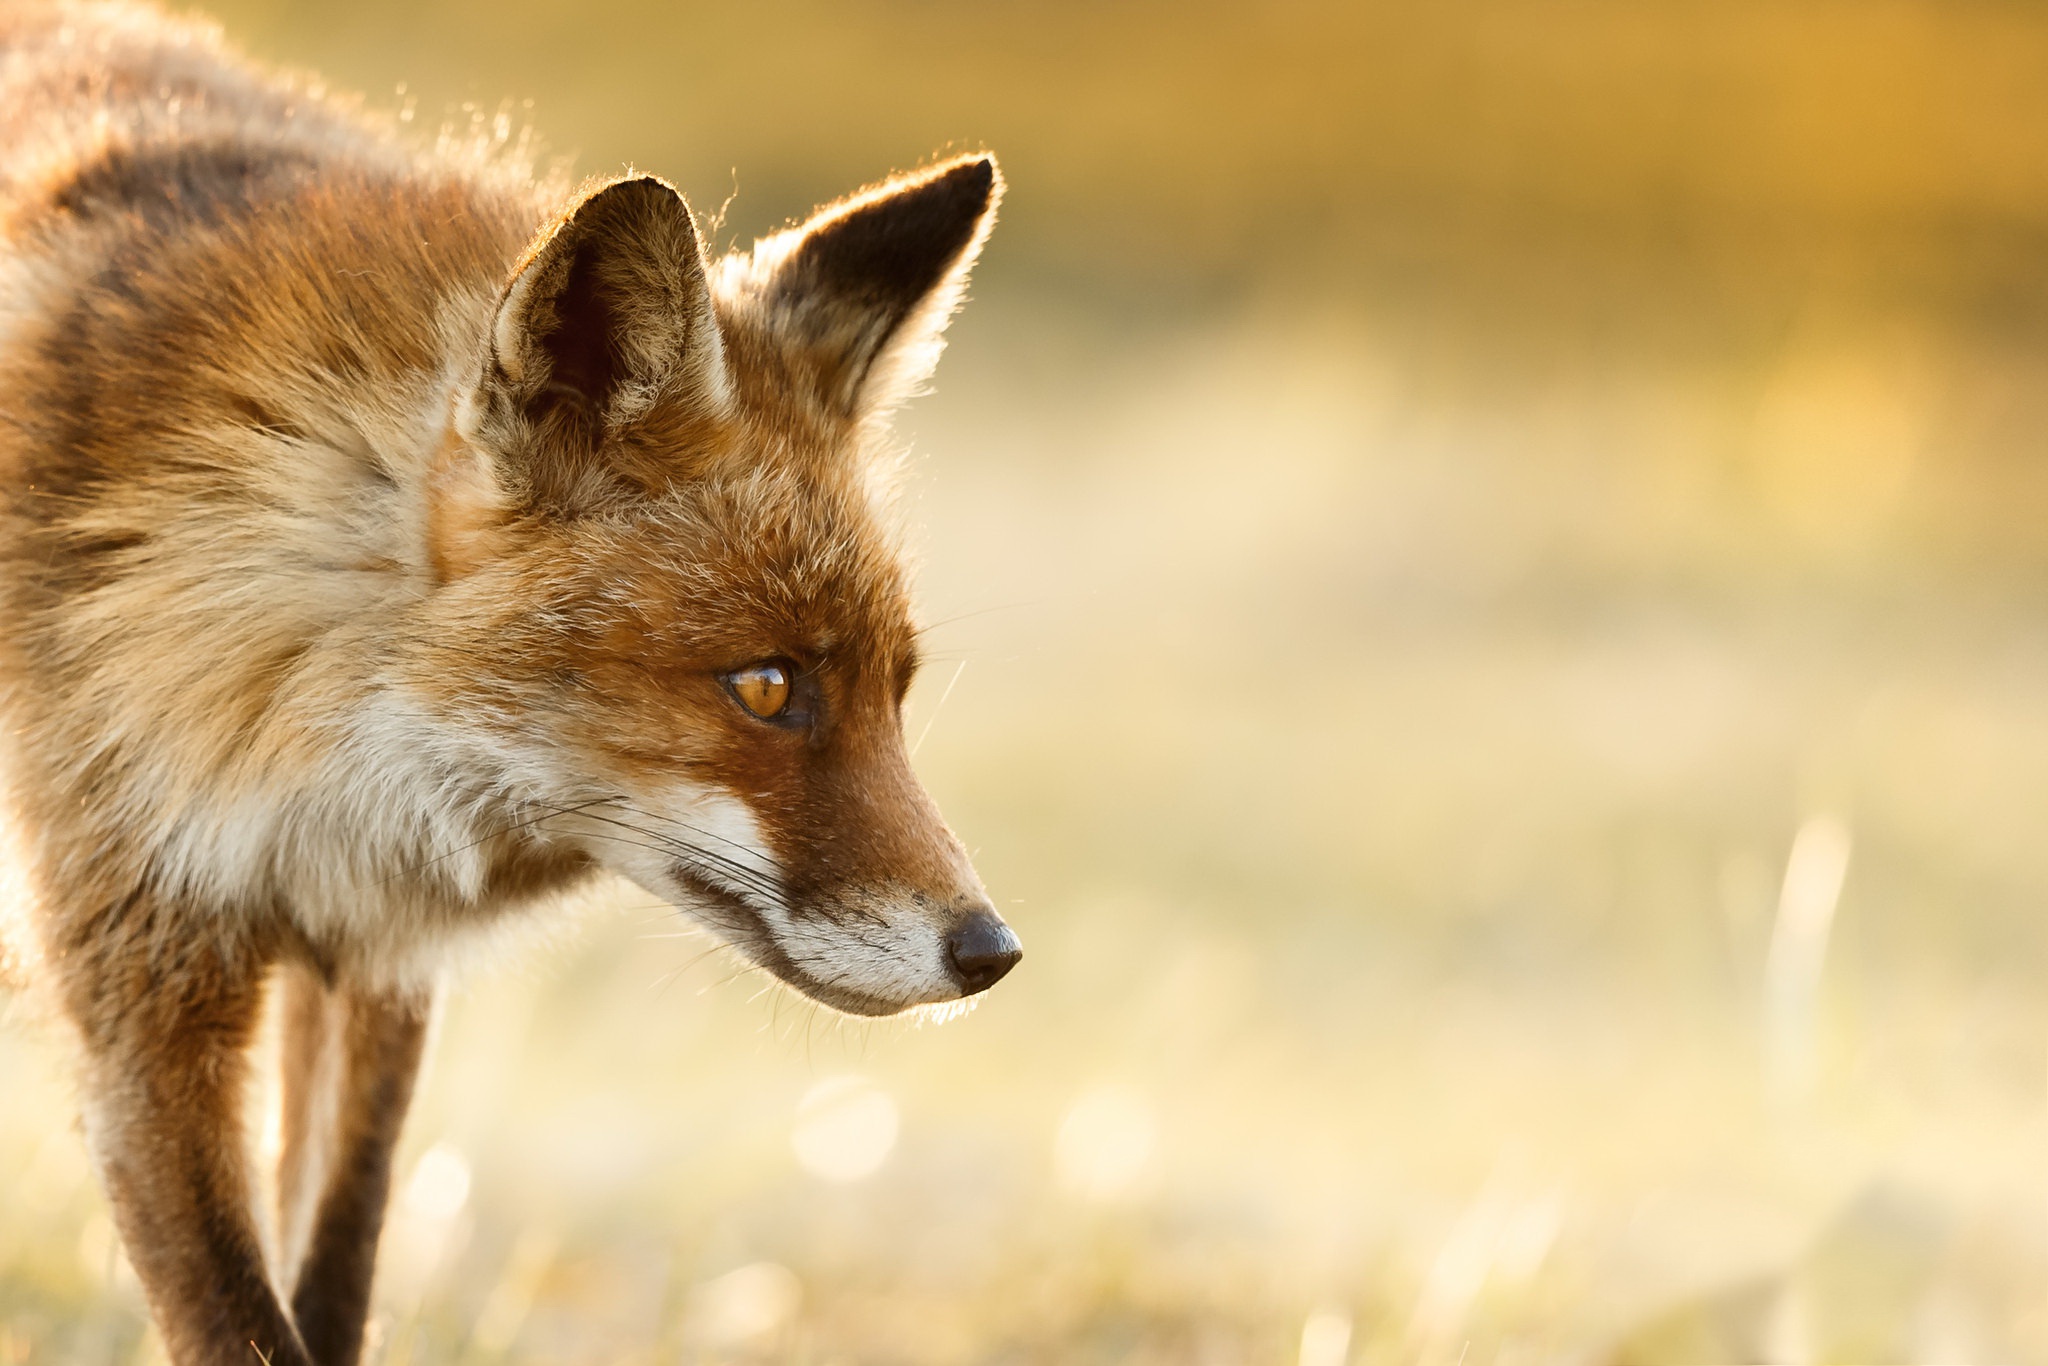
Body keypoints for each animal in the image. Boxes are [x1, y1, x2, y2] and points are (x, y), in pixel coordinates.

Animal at [0, 3, 1021, 1362]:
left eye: (893, 693)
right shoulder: (140, 996)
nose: (992, 951)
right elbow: (240, 1317)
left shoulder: (373, 961)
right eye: (766, 687)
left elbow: (334, 1274)